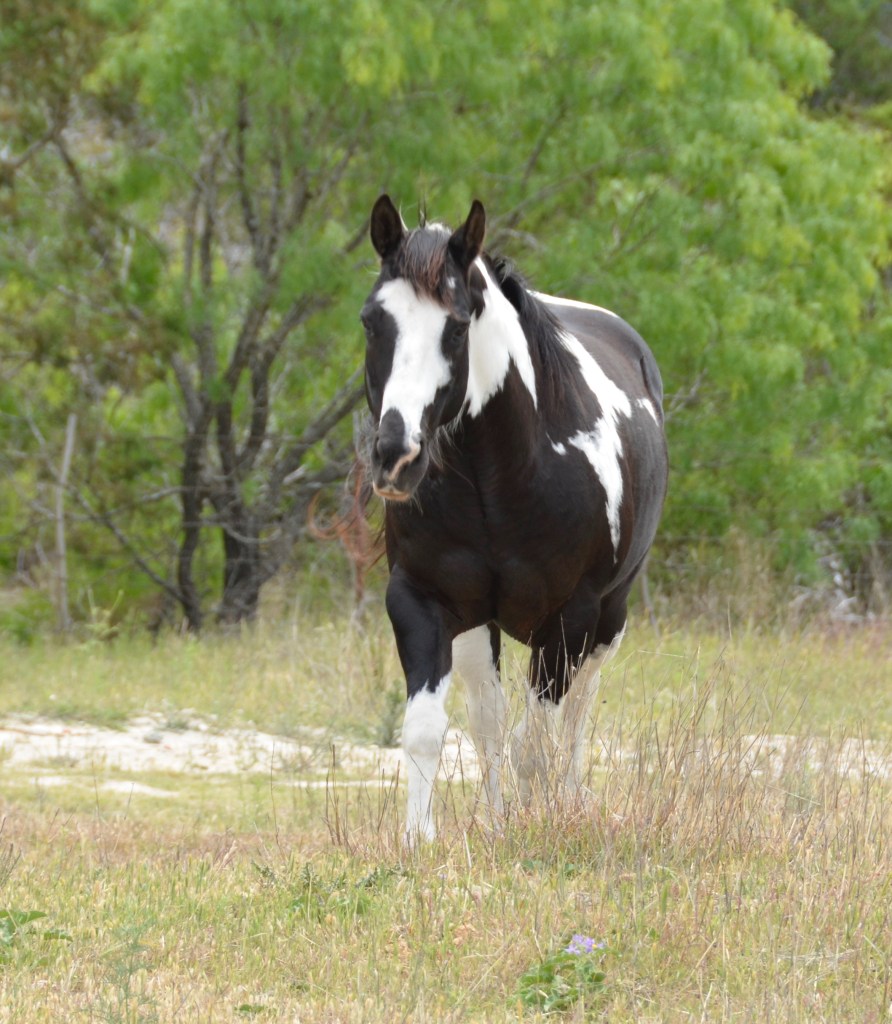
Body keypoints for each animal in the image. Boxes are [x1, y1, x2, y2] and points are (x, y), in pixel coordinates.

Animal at [361, 195, 668, 841]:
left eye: (456, 326)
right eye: (373, 321)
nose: (397, 456)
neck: (502, 483)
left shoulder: (570, 618)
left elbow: (538, 742)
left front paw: (540, 823)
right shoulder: (423, 602)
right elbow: (430, 731)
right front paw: (420, 839)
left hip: (607, 621)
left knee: (574, 718)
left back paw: (568, 800)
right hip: (483, 627)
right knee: (492, 720)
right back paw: (497, 815)